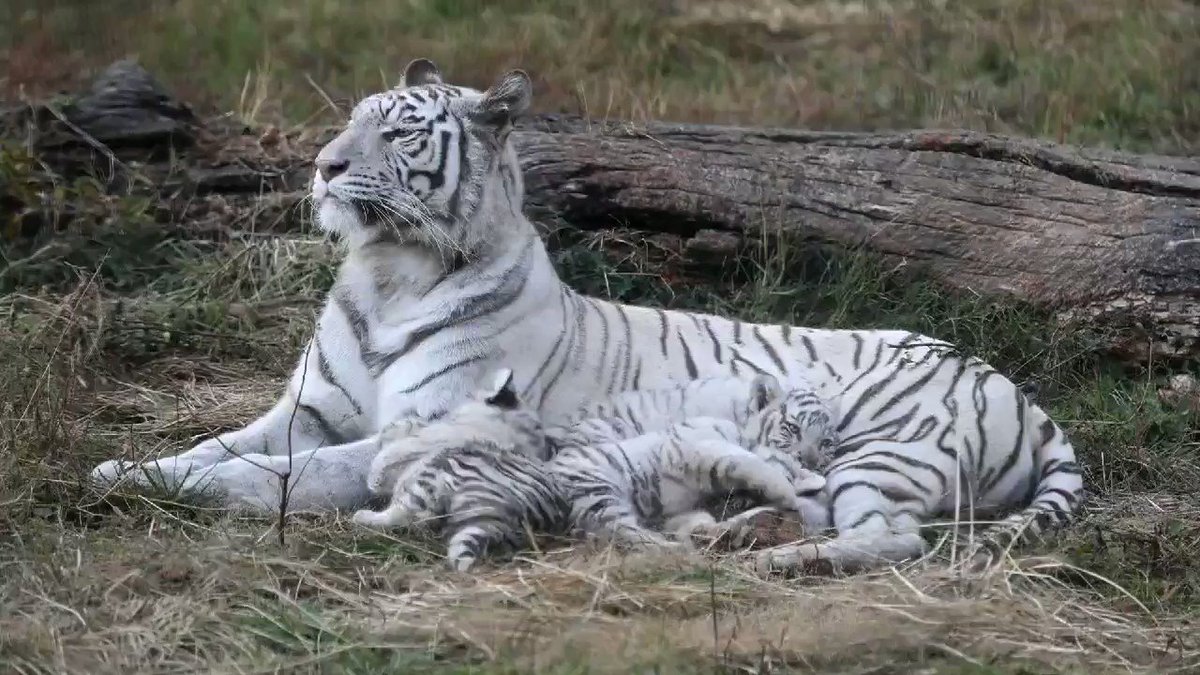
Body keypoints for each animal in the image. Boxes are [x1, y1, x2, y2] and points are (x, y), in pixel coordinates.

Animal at [89, 58, 1083, 575]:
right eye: (354, 119)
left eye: (397, 132)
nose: (324, 166)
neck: (387, 274)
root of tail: (1022, 391)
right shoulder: (307, 408)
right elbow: (220, 443)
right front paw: (120, 467)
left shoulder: (420, 428)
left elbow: (281, 474)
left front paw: (181, 492)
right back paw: (741, 531)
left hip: (878, 447)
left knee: (895, 535)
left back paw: (774, 559)